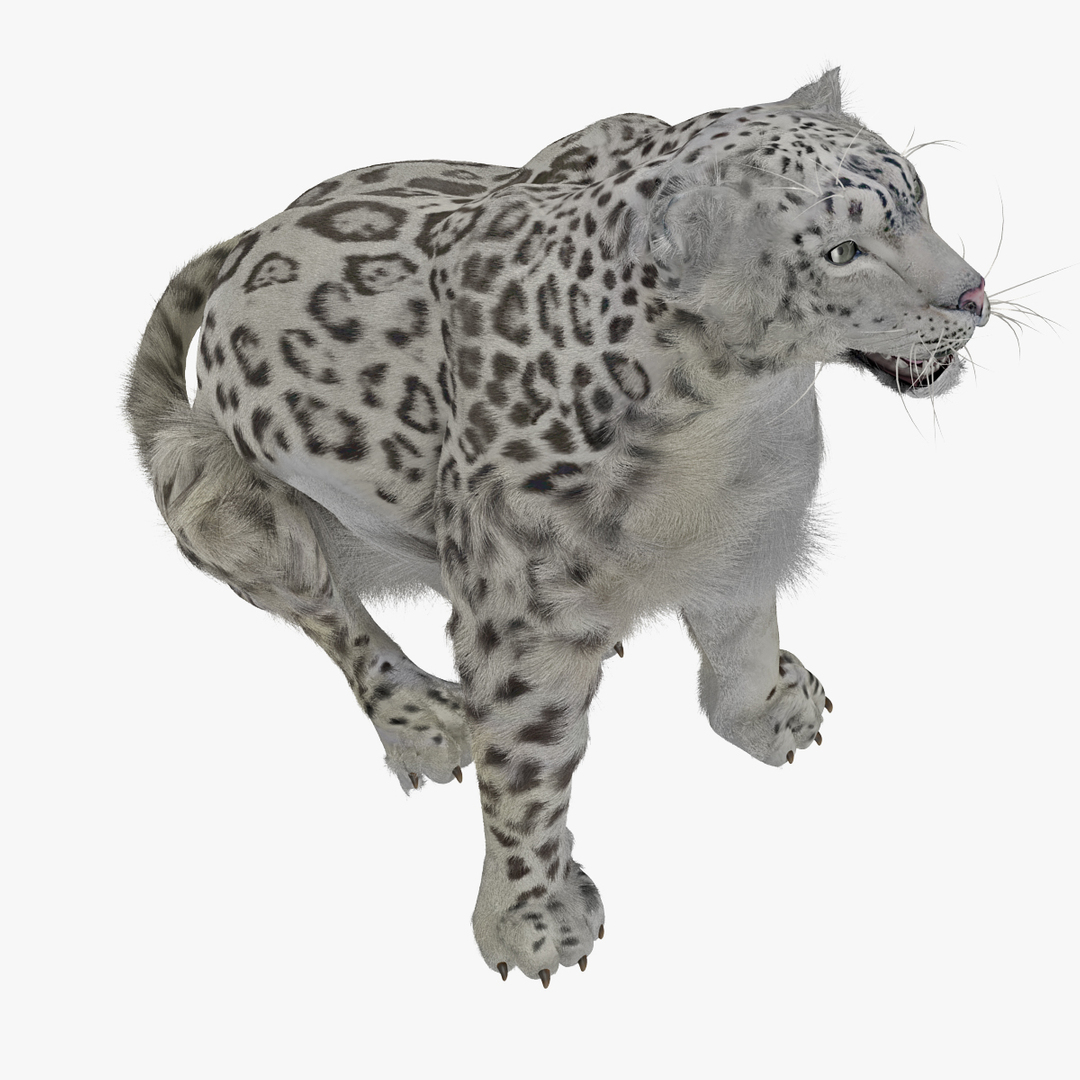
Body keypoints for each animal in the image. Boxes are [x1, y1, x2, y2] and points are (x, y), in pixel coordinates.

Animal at [125, 69, 990, 988]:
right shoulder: (522, 617)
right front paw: (532, 920)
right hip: (214, 493)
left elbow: (743, 626)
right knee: (332, 614)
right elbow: (526, 764)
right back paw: (425, 717)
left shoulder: (754, 522)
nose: (975, 295)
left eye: (919, 198)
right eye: (841, 253)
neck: (741, 428)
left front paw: (765, 709)